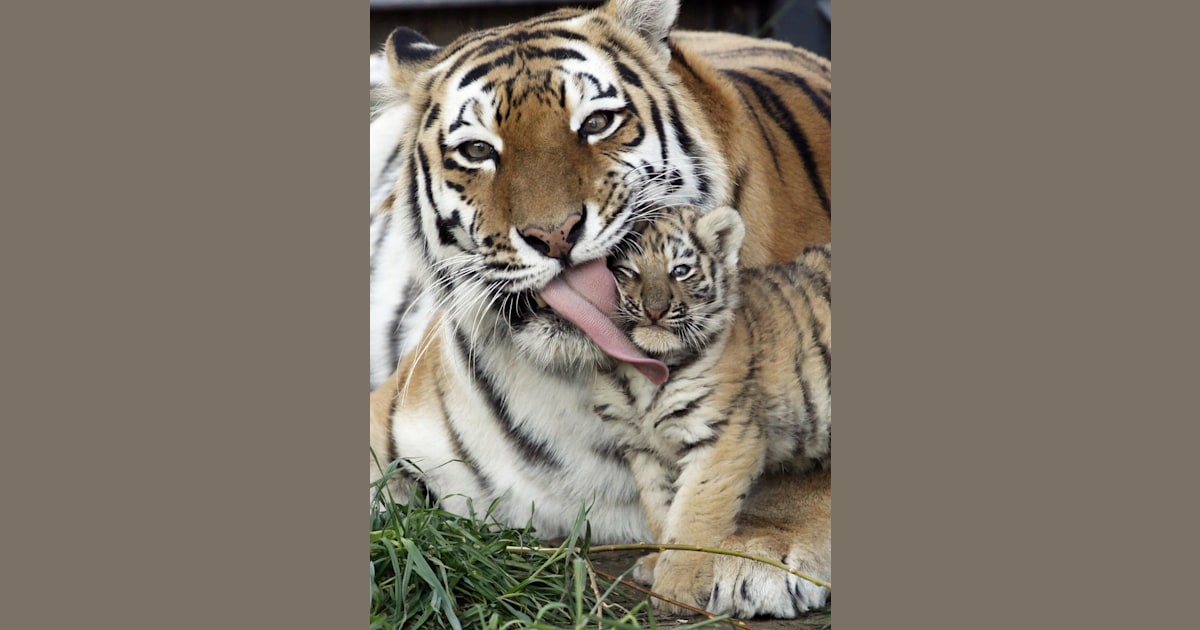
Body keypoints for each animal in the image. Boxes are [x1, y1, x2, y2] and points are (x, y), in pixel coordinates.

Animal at [592, 205, 831, 615]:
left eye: (680, 270)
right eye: (627, 271)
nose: (654, 310)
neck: (645, 369)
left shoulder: (724, 435)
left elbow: (695, 515)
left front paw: (678, 589)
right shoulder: (643, 447)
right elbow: (661, 508)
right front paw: (658, 564)